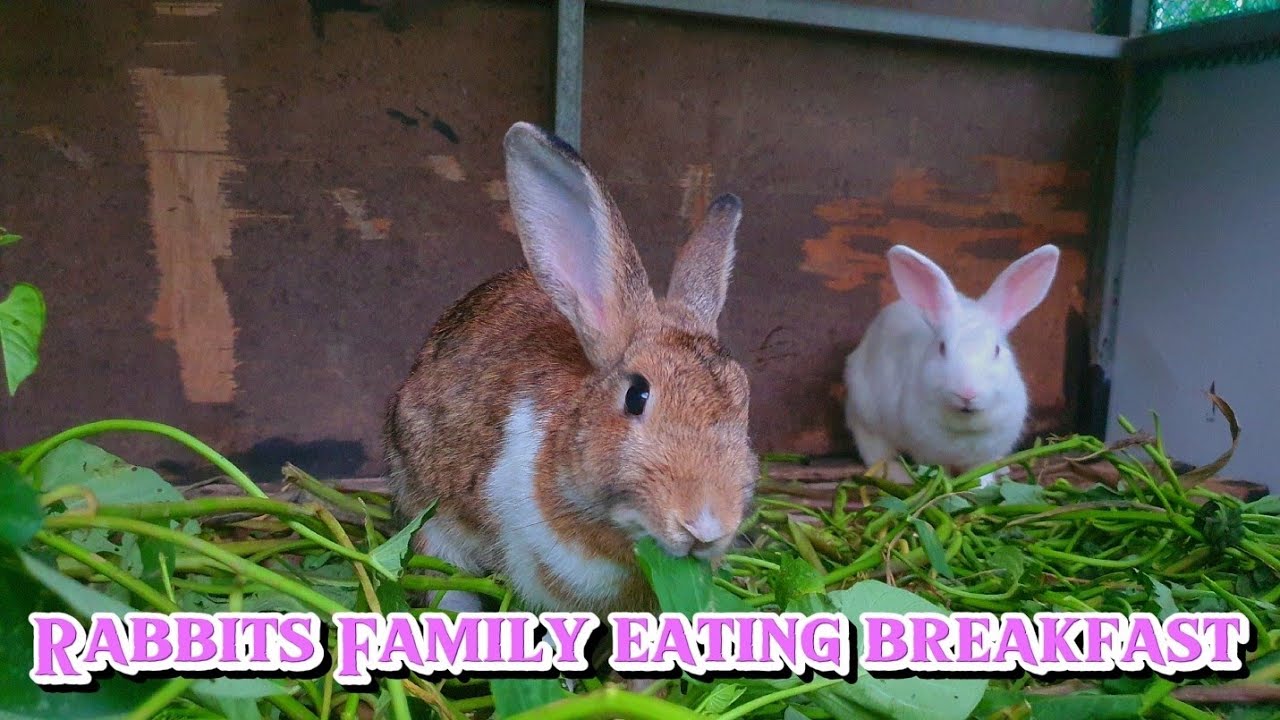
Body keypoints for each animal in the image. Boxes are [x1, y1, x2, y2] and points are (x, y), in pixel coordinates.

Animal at [843, 243, 1061, 489]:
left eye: (996, 350)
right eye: (942, 348)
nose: (967, 393)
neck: (966, 425)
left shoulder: (985, 456)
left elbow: (981, 475)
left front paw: (981, 487)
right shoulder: (928, 453)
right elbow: (941, 472)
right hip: (866, 416)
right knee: (876, 454)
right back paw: (899, 475)